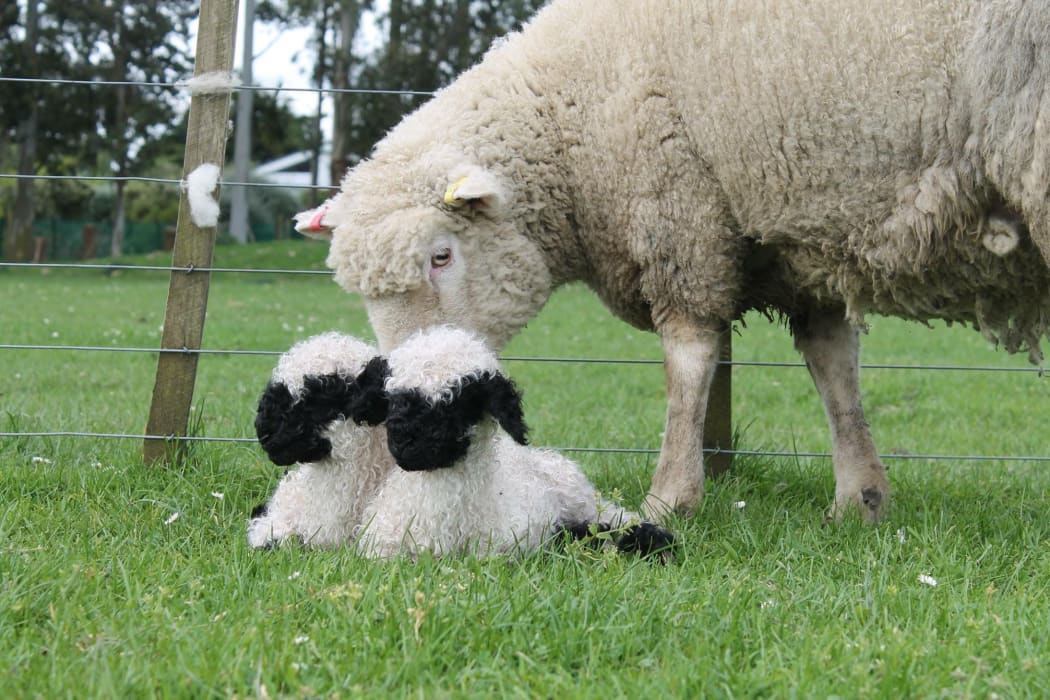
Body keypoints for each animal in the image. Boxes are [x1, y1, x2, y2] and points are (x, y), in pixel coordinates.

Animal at [294, 0, 1050, 525]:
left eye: (441, 256)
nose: (398, 398)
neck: (572, 123)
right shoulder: (800, 241)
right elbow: (835, 371)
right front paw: (860, 498)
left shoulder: (679, 213)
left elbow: (688, 363)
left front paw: (671, 498)